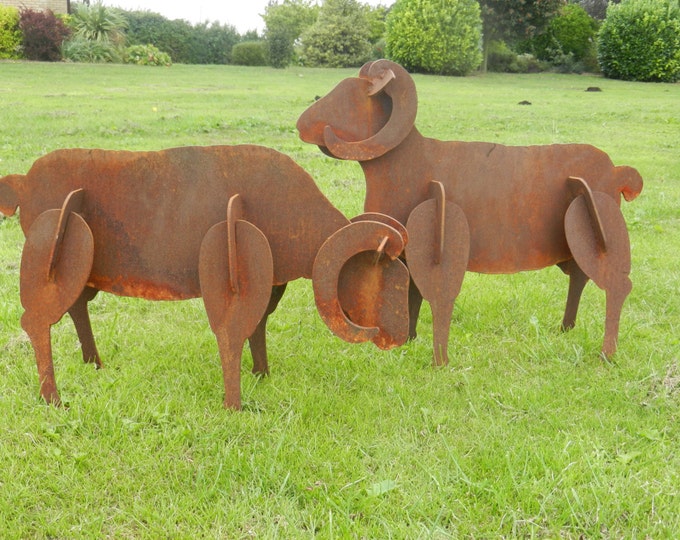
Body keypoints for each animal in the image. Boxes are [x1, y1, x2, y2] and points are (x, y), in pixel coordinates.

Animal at [0, 144, 410, 409]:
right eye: (387, 279)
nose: (400, 339)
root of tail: (23, 182)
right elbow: (231, 335)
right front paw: (235, 407)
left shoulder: (268, 282)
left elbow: (257, 330)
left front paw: (262, 375)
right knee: (35, 322)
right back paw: (53, 399)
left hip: (82, 275)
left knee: (75, 312)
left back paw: (93, 365)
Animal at [297, 59, 644, 365]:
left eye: (351, 97)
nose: (300, 126)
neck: (409, 161)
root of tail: (616, 171)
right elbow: (412, 295)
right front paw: (409, 341)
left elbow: (435, 297)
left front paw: (438, 361)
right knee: (581, 281)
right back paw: (565, 329)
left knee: (618, 287)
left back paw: (606, 355)